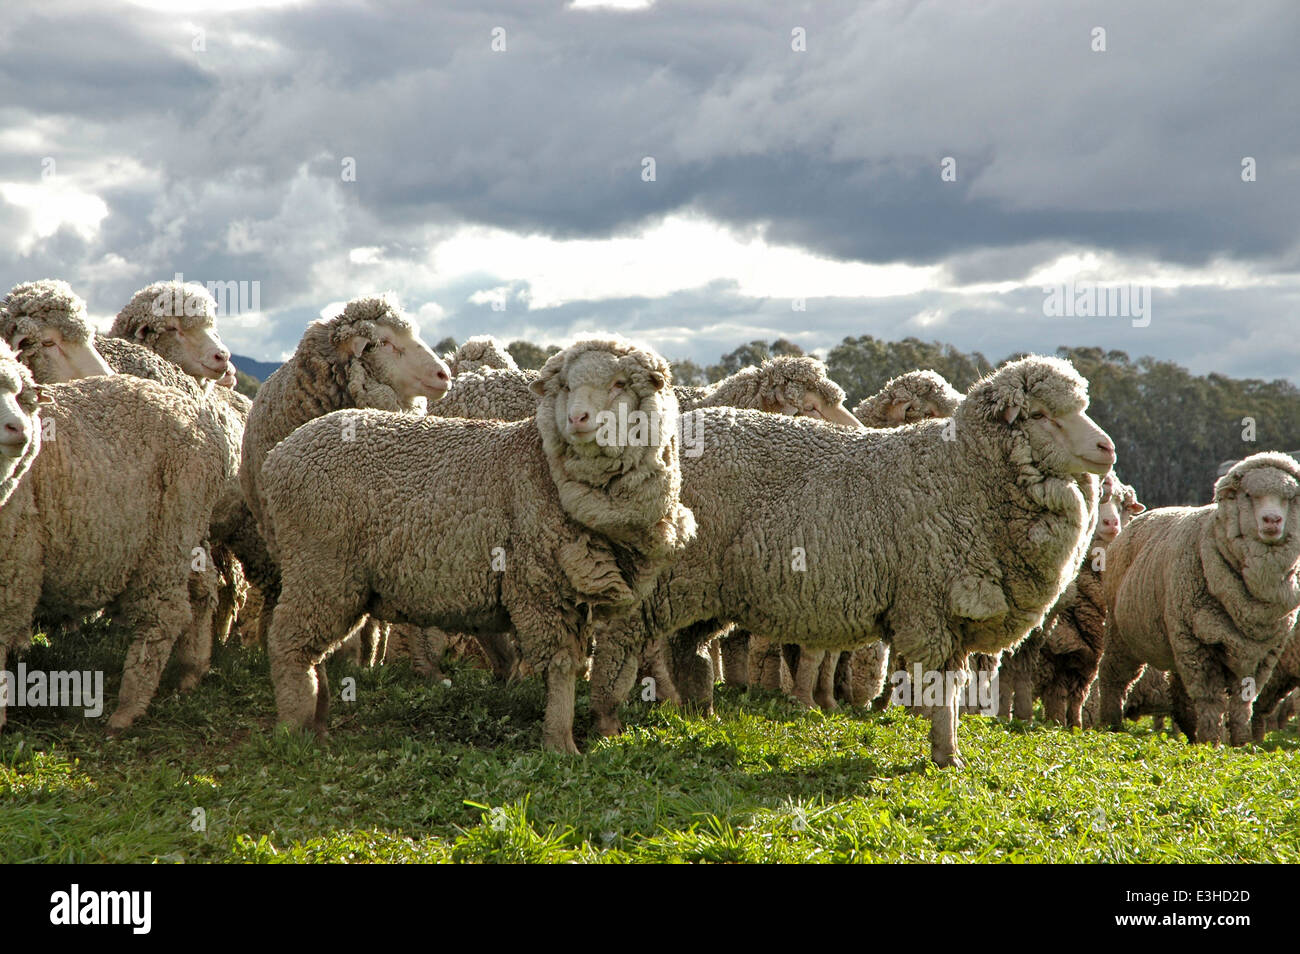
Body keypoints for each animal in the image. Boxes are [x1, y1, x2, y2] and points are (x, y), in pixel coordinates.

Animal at [0, 372, 236, 732]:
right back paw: (191, 670)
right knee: (204, 589)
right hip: (191, 532)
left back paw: (128, 707)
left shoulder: (15, 558)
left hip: (171, 528)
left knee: (164, 615)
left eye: (21, 397)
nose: (19, 431)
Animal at [257, 336, 694, 752]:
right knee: (289, 645)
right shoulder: (540, 590)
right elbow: (561, 667)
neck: (543, 467)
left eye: (620, 384)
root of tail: (279, 455)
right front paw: (560, 743)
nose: (577, 419)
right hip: (321, 566)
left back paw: (318, 723)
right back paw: (296, 728)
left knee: (313, 650)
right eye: (568, 386)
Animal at [587, 355, 1115, 766]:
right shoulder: (929, 605)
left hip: (704, 586)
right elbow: (941, 690)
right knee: (618, 644)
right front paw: (944, 756)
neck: (962, 471)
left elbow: (949, 687)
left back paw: (700, 715)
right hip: (654, 579)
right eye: (1041, 414)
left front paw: (949, 753)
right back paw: (607, 723)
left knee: (688, 650)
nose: (1106, 448)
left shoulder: (952, 613)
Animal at [998, 472, 1145, 725]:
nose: (1112, 524)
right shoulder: (1055, 653)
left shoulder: (1087, 657)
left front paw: (1075, 725)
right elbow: (1055, 694)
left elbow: (1078, 696)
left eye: (1123, 505)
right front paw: (1054, 723)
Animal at [1098, 453, 1300, 745]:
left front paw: (1240, 743)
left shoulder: (1265, 653)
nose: (1272, 520)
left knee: (1180, 692)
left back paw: (1191, 734)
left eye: (1289, 497)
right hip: (1124, 633)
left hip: (1177, 638)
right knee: (1114, 676)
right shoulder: (1197, 642)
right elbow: (1210, 697)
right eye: (1249, 495)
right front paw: (1212, 742)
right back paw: (1110, 725)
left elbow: (1242, 702)